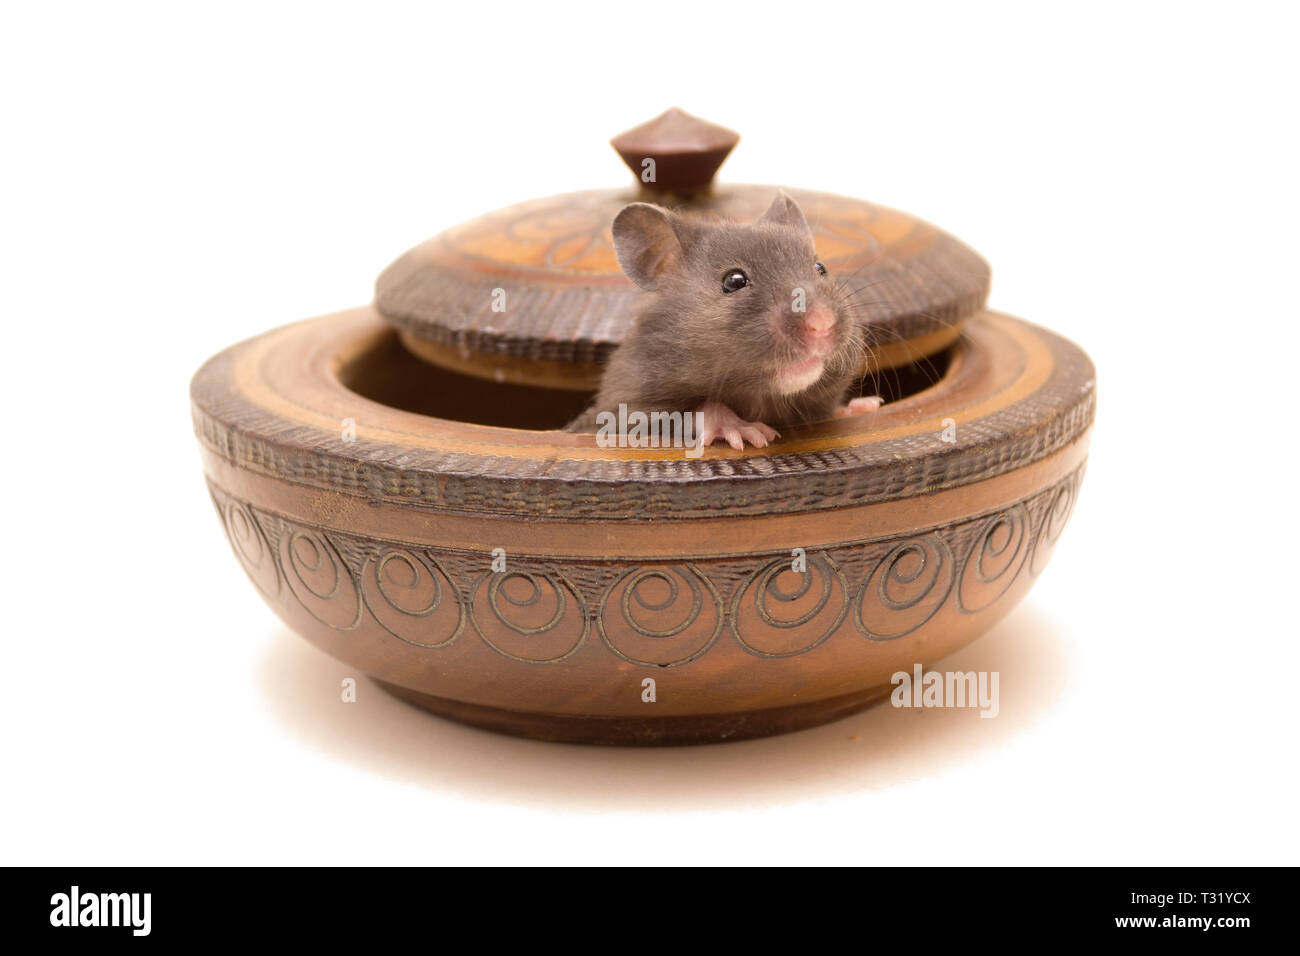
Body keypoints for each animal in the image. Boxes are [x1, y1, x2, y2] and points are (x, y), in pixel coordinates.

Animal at [567, 191, 881, 450]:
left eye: (821, 268)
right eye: (734, 281)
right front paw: (753, 434)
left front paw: (867, 405)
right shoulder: (621, 414)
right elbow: (700, 409)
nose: (822, 324)